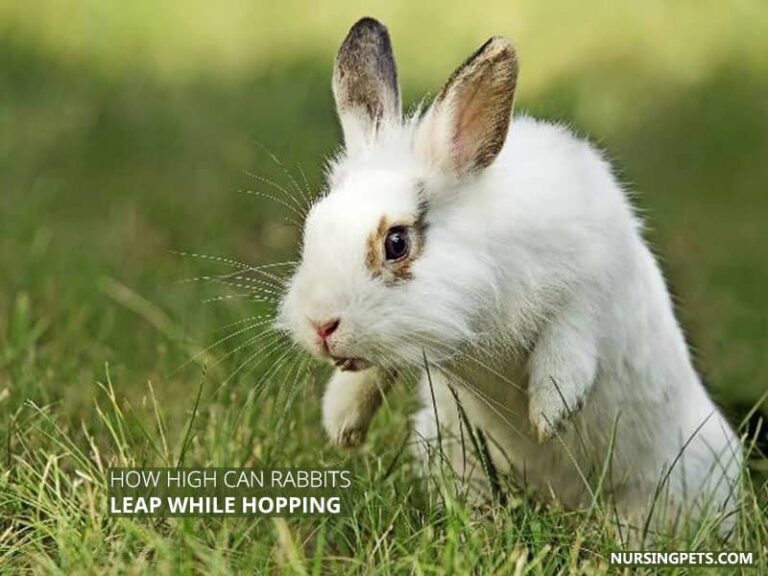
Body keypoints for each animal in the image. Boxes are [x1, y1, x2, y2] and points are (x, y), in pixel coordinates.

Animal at [276, 17, 742, 537]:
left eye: (396, 242)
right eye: (314, 226)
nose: (320, 326)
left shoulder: (590, 282)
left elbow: (569, 343)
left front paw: (548, 415)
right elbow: (370, 374)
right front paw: (341, 425)